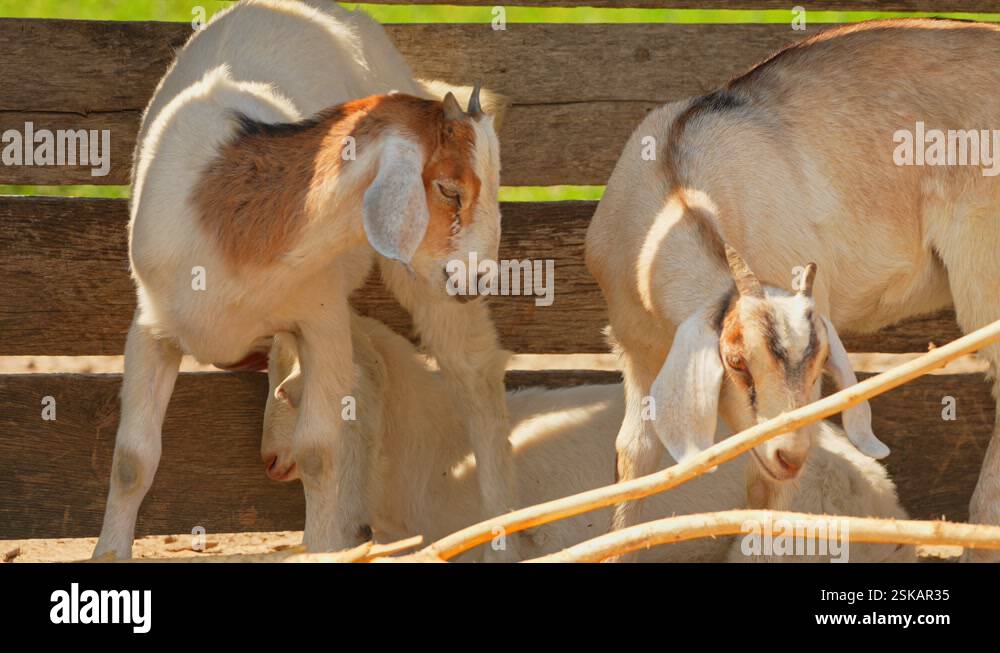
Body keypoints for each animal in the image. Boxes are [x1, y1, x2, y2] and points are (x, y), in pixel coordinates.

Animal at [94, 0, 518, 559]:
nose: (477, 278)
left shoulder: (322, 322)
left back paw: (501, 531)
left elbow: (318, 453)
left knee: (473, 375)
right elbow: (131, 460)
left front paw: (320, 544)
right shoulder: (151, 327)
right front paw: (107, 551)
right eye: (449, 189)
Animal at [585, 19, 1000, 560]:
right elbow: (633, 461)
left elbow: (767, 498)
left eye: (822, 365)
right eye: (735, 362)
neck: (674, 188)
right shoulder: (634, 349)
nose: (788, 453)